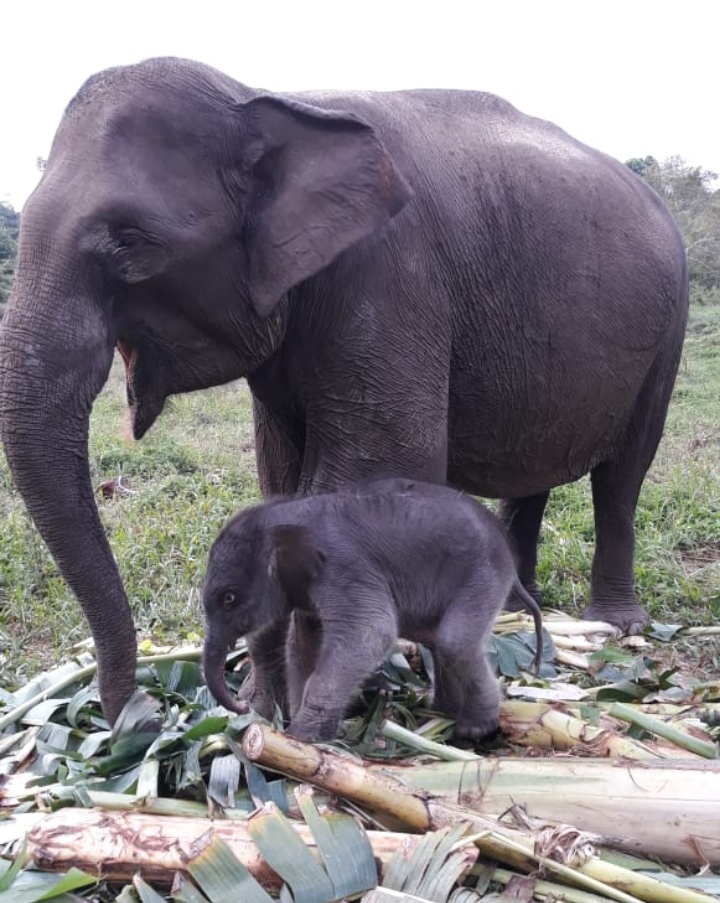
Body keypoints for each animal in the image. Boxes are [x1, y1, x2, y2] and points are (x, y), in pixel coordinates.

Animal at [202, 478, 543, 742]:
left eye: (229, 598)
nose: (242, 708)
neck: (293, 508)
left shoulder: (346, 568)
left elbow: (370, 633)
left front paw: (301, 738)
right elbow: (303, 647)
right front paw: (302, 731)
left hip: (482, 575)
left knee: (454, 641)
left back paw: (474, 730)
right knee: (439, 641)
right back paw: (443, 712)